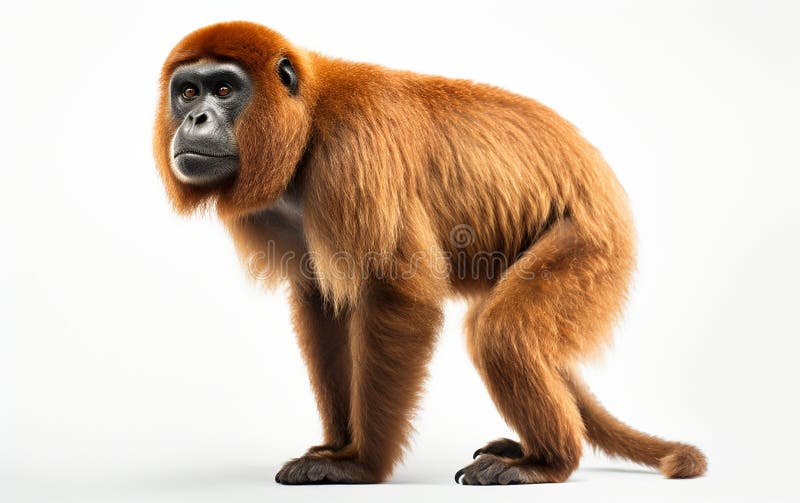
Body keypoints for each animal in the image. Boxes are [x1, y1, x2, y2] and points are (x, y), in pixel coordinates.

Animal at [153, 21, 706, 485]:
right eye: (188, 92)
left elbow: (400, 294)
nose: (195, 117)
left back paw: (548, 461)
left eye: (224, 90)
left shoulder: (353, 154)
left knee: (500, 330)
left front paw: (361, 464)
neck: (306, 120)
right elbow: (323, 302)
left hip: (594, 244)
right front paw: (337, 447)